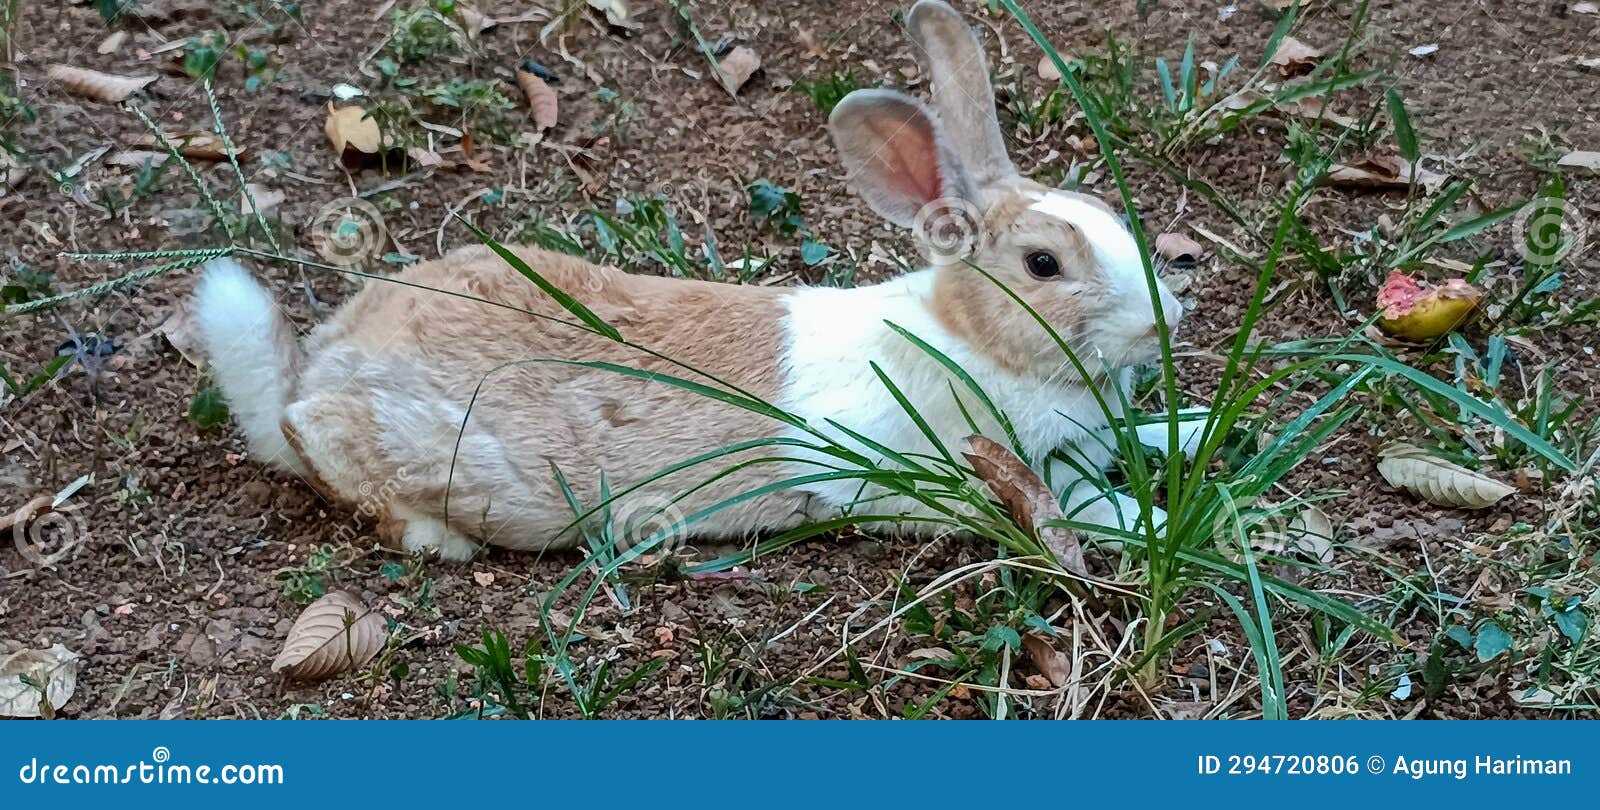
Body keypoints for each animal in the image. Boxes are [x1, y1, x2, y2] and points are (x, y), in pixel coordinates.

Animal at [194, 0, 1182, 561]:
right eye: (1044, 264)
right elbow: (1074, 510)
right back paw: (442, 539)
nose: (1163, 321)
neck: (973, 338)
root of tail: (321, 366)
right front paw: (1146, 524)